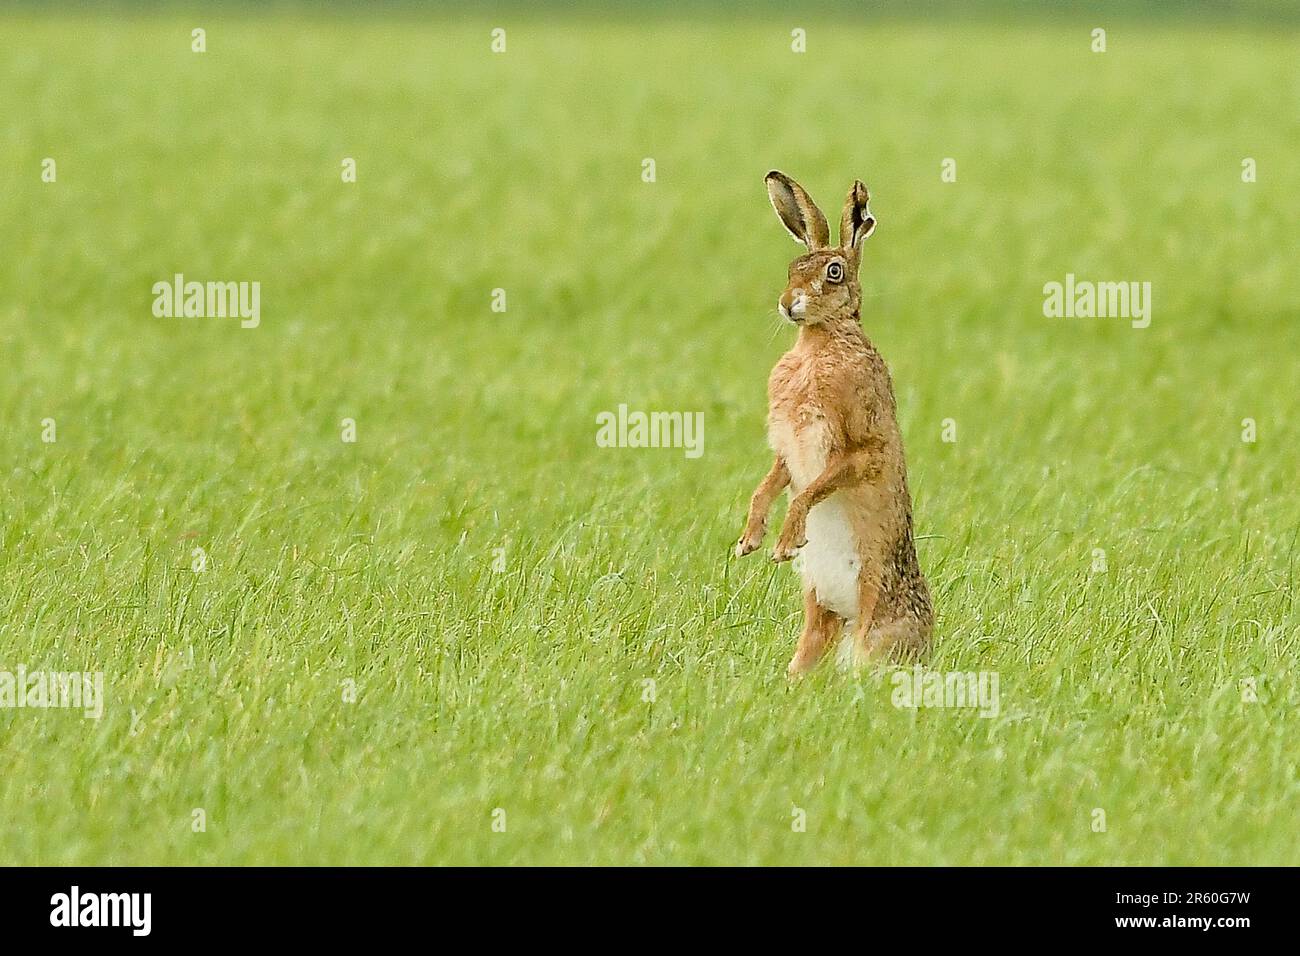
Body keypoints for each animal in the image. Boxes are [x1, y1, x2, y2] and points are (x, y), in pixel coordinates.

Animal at [736, 170, 933, 676]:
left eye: (834, 273)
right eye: (791, 267)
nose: (788, 304)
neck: (820, 341)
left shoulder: (859, 447)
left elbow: (811, 490)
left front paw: (786, 545)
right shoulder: (788, 449)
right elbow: (769, 485)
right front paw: (749, 540)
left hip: (872, 605)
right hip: (817, 608)